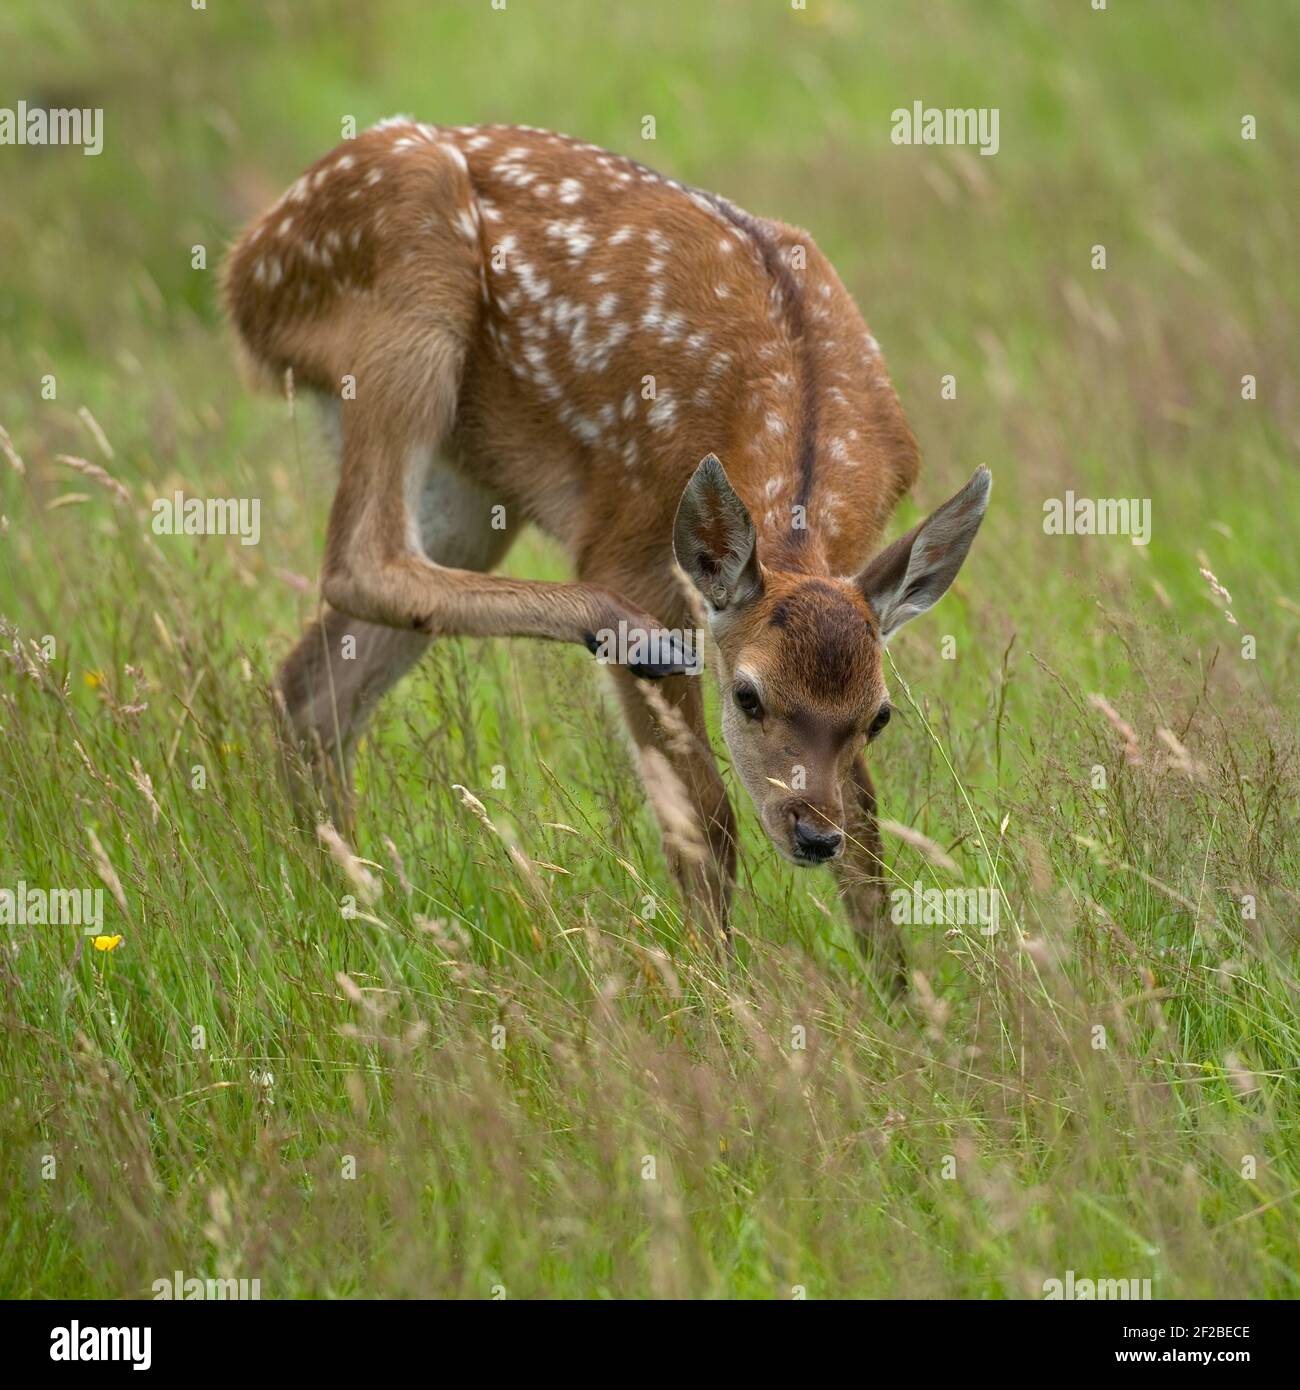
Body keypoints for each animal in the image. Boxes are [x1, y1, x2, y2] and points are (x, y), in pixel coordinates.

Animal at [224, 119, 990, 991]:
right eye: (749, 696)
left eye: (880, 715)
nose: (809, 834)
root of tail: (245, 265)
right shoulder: (629, 537)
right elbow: (705, 824)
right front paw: (721, 999)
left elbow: (869, 830)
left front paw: (903, 1004)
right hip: (409, 285)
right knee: (360, 557)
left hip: (468, 484)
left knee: (313, 685)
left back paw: (342, 897)